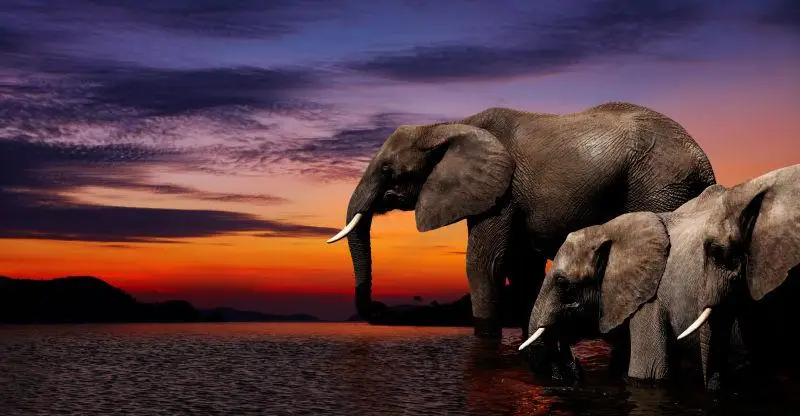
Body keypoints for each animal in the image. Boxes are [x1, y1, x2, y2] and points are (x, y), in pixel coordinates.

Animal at [325, 102, 716, 353]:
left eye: (389, 171)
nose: (380, 309)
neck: (448, 126)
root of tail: (704, 161)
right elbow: (523, 269)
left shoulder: (501, 192)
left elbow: (485, 264)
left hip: (658, 186)